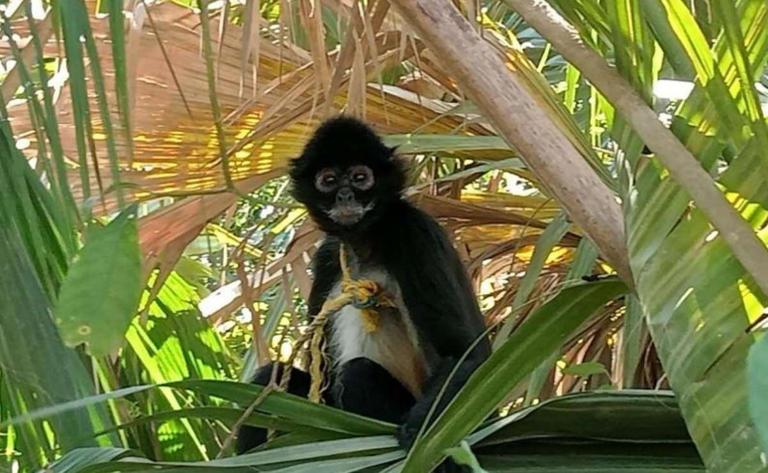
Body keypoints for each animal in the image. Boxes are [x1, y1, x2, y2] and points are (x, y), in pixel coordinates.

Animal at [237, 117, 491, 471]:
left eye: (360, 178)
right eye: (328, 180)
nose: (345, 196)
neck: (366, 242)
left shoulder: (414, 232)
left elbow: (467, 355)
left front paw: (419, 437)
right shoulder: (329, 254)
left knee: (358, 373)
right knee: (268, 375)